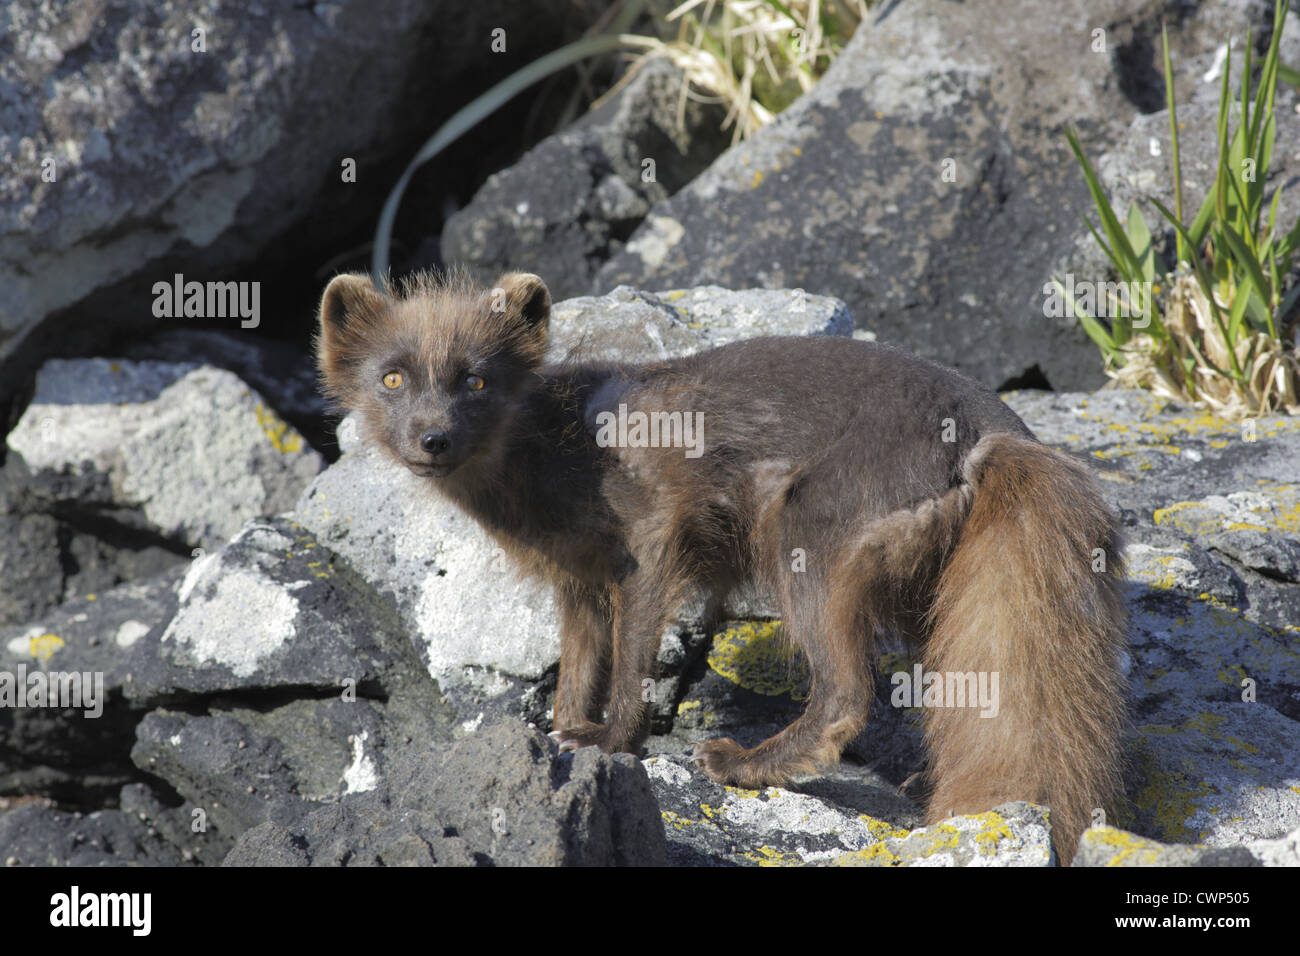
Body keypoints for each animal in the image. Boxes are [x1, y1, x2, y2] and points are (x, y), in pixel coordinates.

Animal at [314, 269, 1129, 865]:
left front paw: (609, 744)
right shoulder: (576, 579)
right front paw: (563, 734)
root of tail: (999, 430)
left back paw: (742, 764)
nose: (433, 438)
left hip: (806, 531)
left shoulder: (650, 537)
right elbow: (578, 666)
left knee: (846, 695)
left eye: (476, 379)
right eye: (392, 379)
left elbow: (630, 662)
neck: (550, 457)